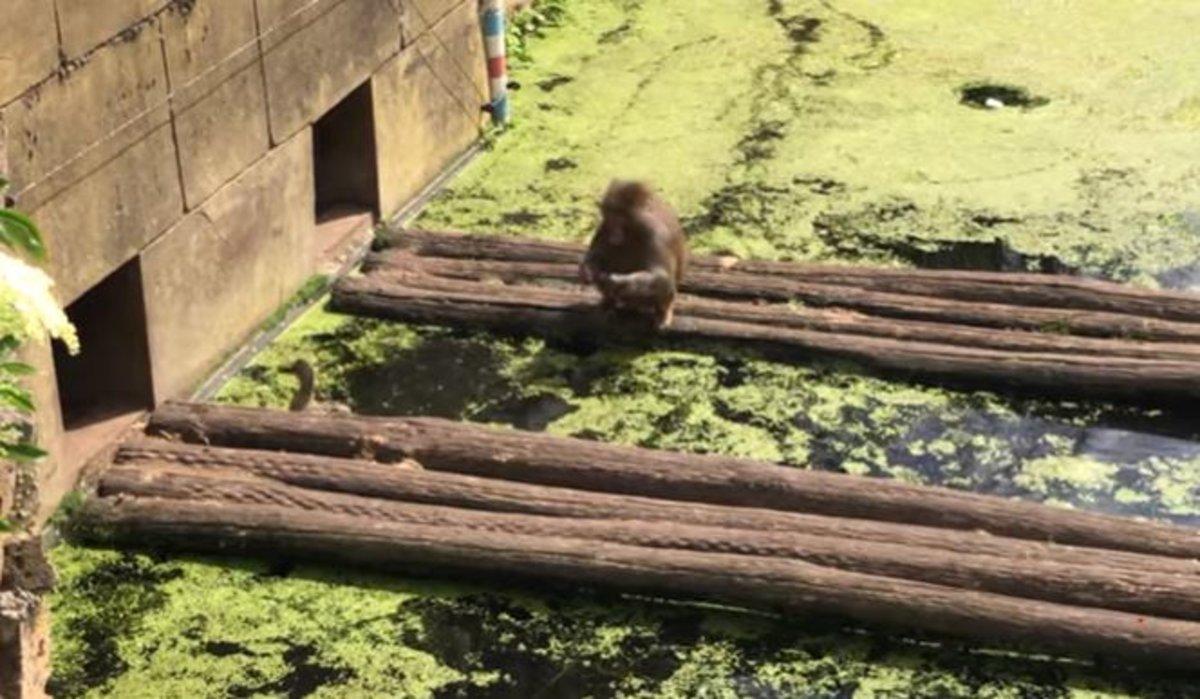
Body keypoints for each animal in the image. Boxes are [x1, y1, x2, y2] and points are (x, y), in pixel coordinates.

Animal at [578, 180, 687, 328]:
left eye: (620, 218)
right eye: (611, 217)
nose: (614, 233)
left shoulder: (654, 232)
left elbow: (662, 278)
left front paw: (616, 281)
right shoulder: (604, 226)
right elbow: (596, 255)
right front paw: (588, 269)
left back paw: (663, 313)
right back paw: (608, 303)